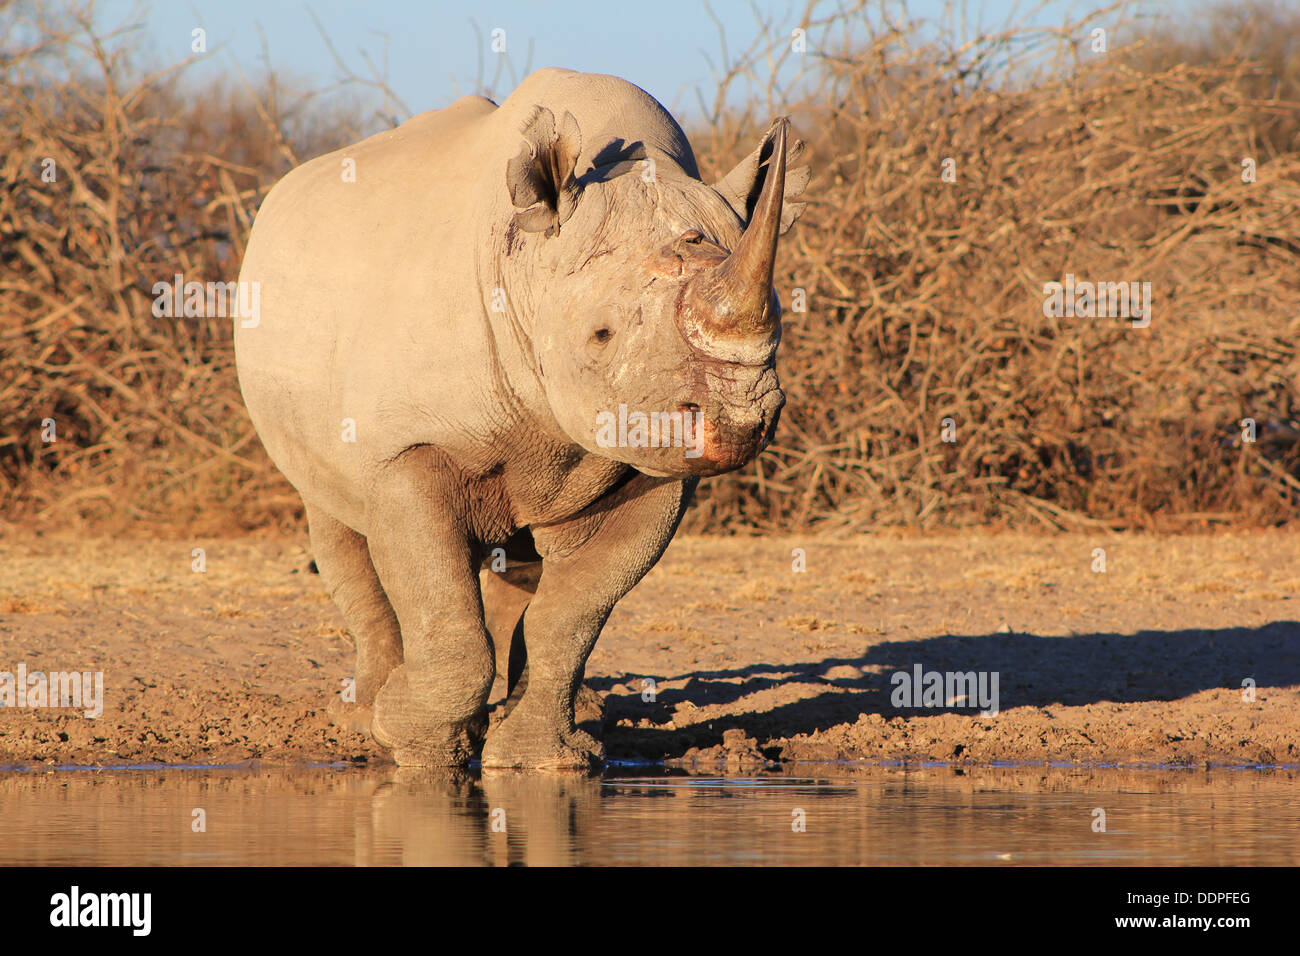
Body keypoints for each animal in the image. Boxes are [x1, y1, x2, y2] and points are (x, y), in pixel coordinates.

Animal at [234, 68, 808, 769]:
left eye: (778, 328)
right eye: (600, 335)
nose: (736, 422)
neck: (531, 269)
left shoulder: (651, 461)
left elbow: (573, 614)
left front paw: (541, 760)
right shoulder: (410, 446)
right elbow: (440, 604)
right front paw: (411, 739)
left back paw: (575, 713)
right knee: (335, 520)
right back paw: (360, 714)